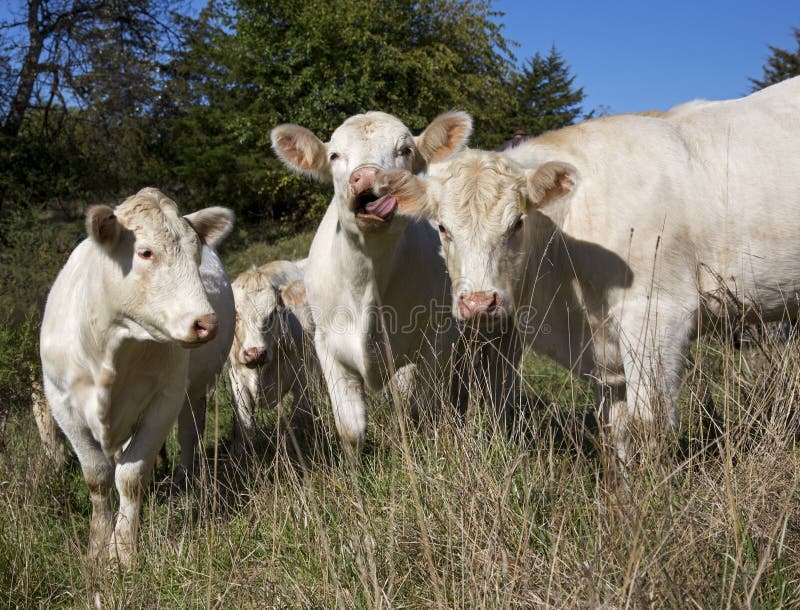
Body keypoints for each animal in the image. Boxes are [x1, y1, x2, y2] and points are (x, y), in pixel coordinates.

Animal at [39, 187, 234, 564]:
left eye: (196, 252)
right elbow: (97, 477)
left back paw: (181, 485)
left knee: (189, 436)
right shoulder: (62, 404)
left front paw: (122, 551)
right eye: (145, 251)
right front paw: (97, 546)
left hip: (193, 392)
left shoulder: (164, 399)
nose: (206, 323)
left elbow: (130, 476)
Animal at [228, 260, 316, 455]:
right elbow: (243, 427)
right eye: (236, 314)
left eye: (274, 312)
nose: (255, 353)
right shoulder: (238, 382)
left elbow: (298, 418)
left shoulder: (303, 380)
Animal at [270, 111, 474, 450]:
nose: (366, 176)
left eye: (405, 150)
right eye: (334, 155)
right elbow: (350, 429)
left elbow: (422, 410)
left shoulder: (439, 339)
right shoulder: (327, 346)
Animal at [372, 76, 800, 460]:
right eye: (442, 227)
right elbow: (618, 429)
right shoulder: (604, 353)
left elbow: (650, 426)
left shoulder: (659, 315)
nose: (479, 303)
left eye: (517, 223)